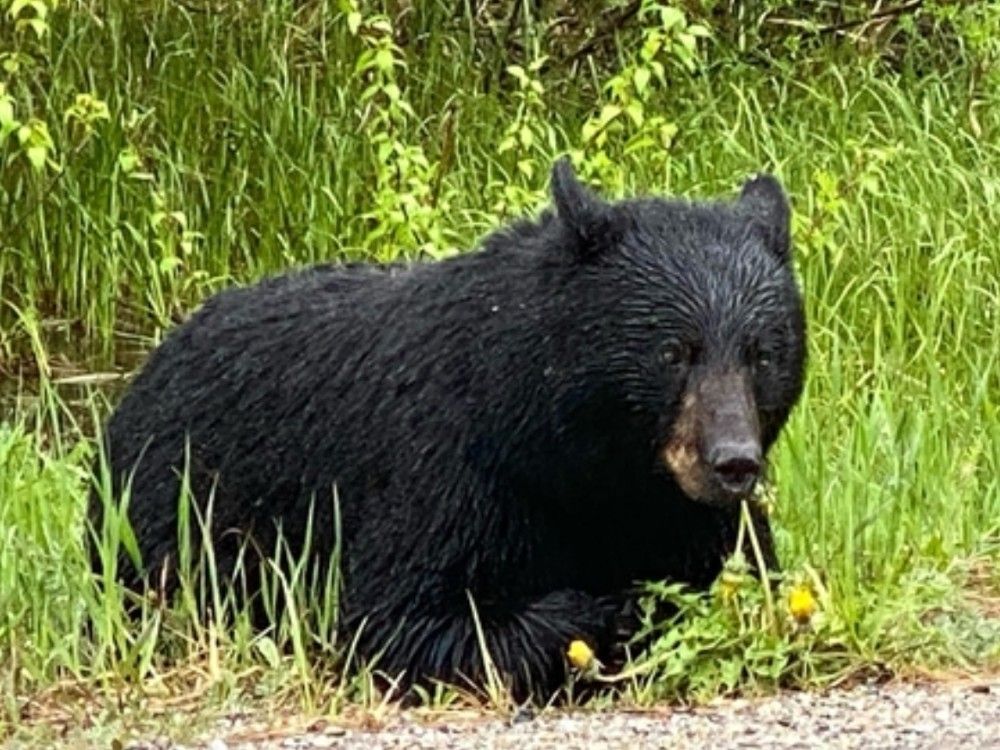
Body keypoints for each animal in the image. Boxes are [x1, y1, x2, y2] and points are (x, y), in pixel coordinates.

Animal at [90, 159, 806, 702]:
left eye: (763, 354)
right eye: (673, 352)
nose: (733, 462)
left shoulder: (684, 508)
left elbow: (754, 580)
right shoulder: (447, 464)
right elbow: (397, 621)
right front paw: (609, 614)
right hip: (167, 511)